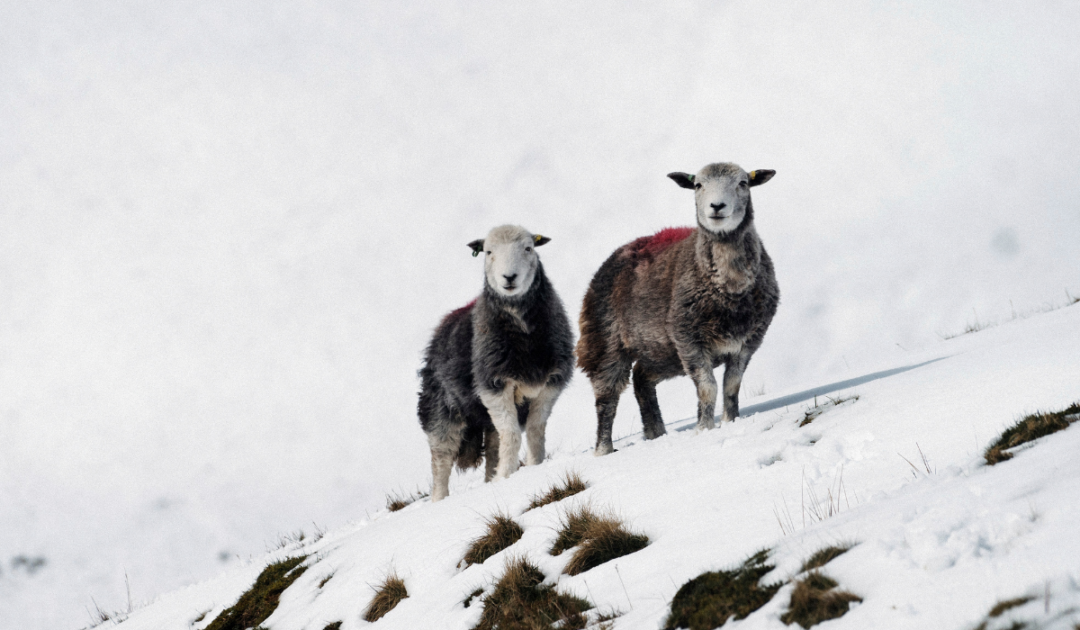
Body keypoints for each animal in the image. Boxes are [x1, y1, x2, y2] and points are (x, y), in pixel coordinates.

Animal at [418, 225, 575, 501]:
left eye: (528, 248)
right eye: (488, 252)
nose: (509, 277)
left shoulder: (551, 382)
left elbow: (535, 430)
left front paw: (533, 466)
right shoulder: (493, 385)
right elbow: (511, 435)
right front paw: (507, 477)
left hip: (485, 420)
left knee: (493, 446)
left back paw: (493, 478)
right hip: (441, 412)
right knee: (441, 460)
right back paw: (441, 499)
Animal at [577, 162, 780, 455]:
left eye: (743, 183)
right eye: (698, 185)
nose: (717, 206)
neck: (729, 287)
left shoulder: (748, 342)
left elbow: (731, 386)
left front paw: (731, 421)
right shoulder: (689, 340)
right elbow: (708, 387)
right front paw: (704, 429)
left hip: (660, 351)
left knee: (641, 380)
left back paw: (656, 433)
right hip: (605, 343)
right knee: (606, 399)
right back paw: (604, 449)